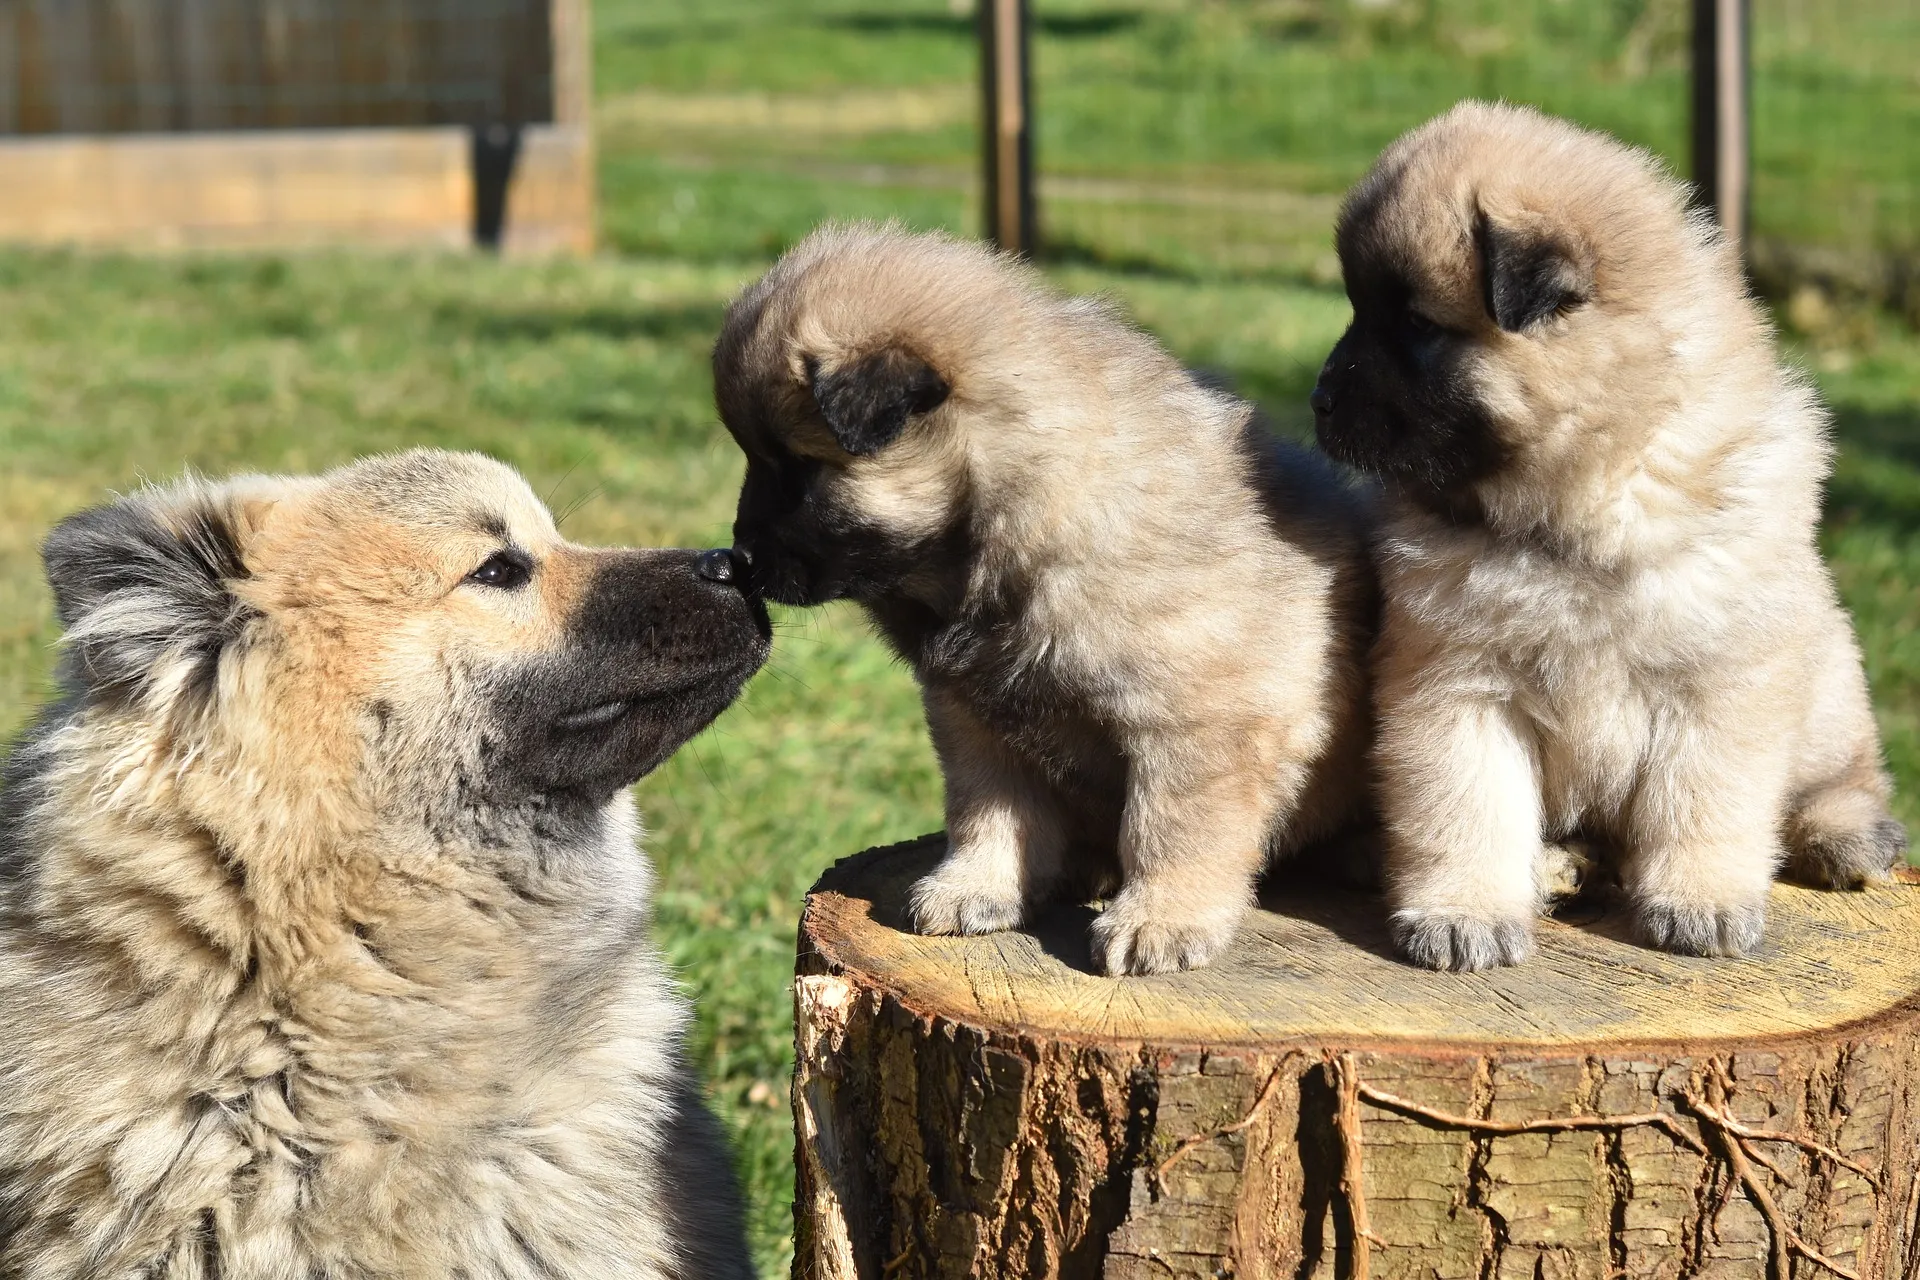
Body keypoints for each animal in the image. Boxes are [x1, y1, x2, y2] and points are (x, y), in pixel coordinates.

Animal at [714, 225, 1374, 974]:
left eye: (797, 470)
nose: (739, 559)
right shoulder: (975, 717)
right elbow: (989, 811)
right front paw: (976, 888)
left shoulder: (1196, 726)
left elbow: (1170, 829)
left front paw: (1159, 920)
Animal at [1305, 102, 1904, 971]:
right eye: (1357, 311)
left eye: (1415, 325)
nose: (1315, 399)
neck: (1578, 506)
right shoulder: (1455, 684)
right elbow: (1467, 806)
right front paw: (1464, 913)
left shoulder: (1718, 686)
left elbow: (1705, 804)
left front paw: (1701, 902)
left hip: (1824, 674)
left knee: (1842, 777)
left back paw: (1845, 836)